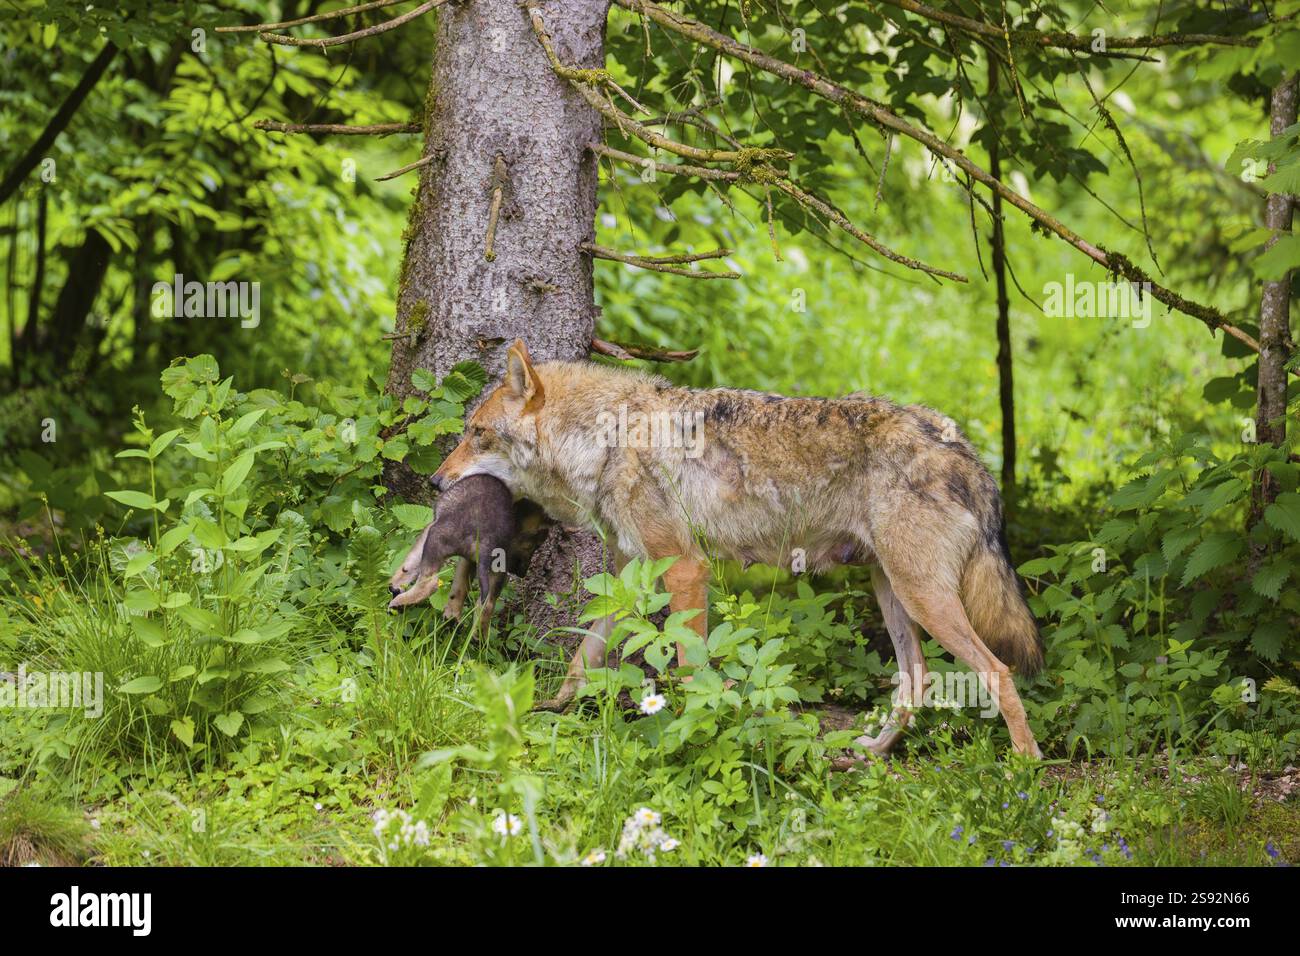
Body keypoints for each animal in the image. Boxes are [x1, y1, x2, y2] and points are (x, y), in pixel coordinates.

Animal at [431, 341, 1044, 758]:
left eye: (477, 435)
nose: (436, 482)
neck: (606, 441)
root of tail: (965, 450)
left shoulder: (687, 570)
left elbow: (687, 667)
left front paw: (689, 735)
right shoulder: (629, 579)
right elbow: (583, 658)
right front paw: (550, 712)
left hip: (924, 600)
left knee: (998, 672)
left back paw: (1024, 769)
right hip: (894, 596)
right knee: (916, 682)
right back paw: (870, 753)